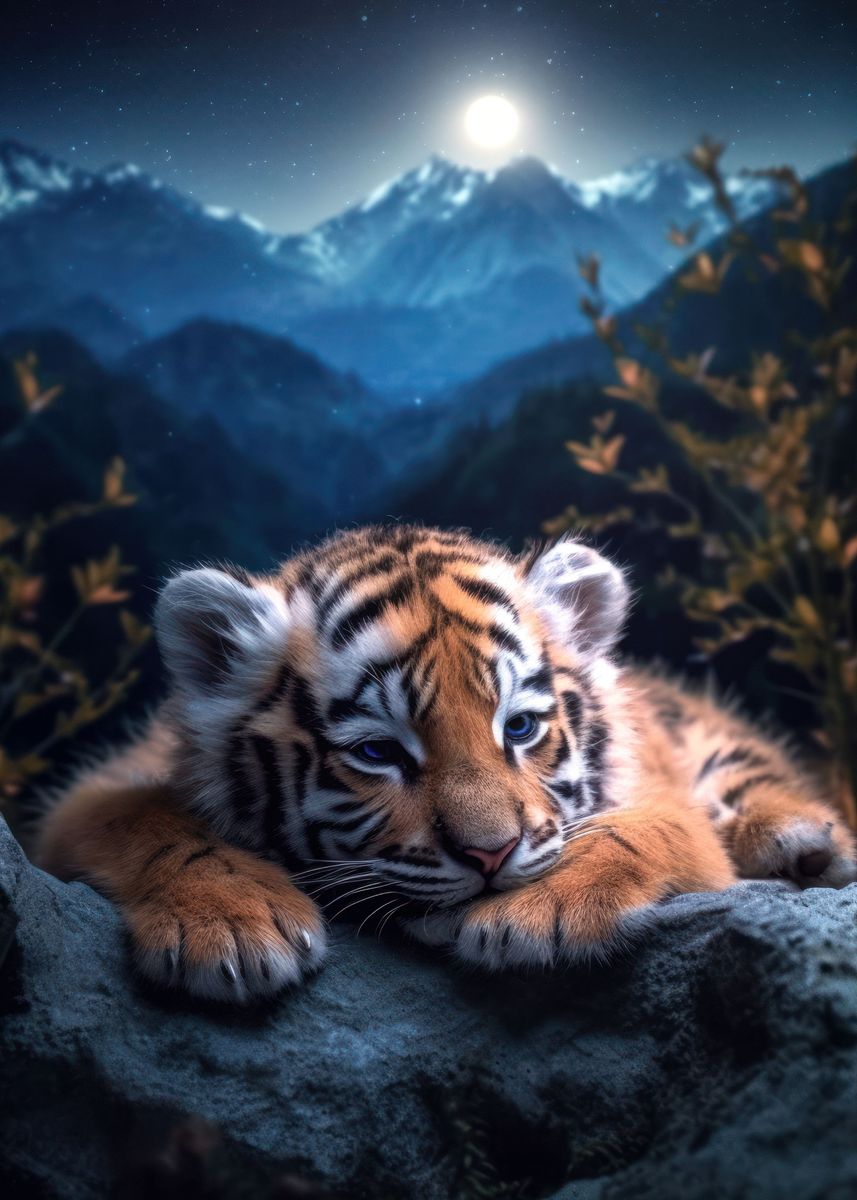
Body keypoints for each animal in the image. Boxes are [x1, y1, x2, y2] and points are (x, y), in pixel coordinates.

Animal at [36, 524, 857, 1003]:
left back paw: (803, 842)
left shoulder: (660, 795)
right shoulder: (92, 794)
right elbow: (151, 819)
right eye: (377, 753)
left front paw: (538, 913)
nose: (490, 854)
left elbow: (637, 828)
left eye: (519, 728)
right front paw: (232, 925)